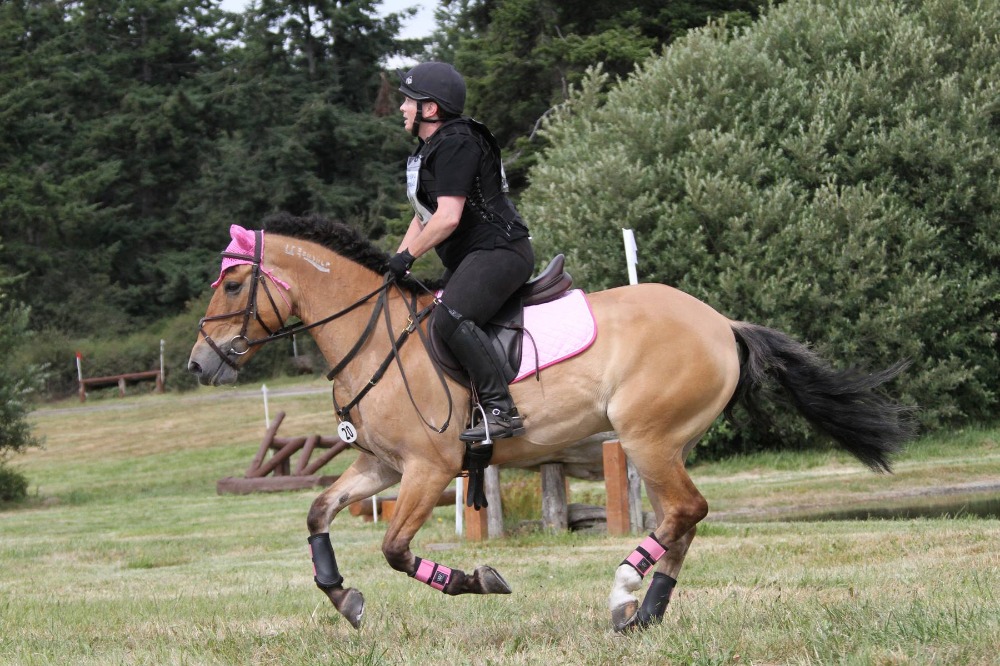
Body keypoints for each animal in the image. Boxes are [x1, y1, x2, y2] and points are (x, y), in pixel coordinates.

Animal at [187, 213, 916, 632]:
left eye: (232, 285)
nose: (199, 363)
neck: (374, 337)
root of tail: (721, 323)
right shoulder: (380, 467)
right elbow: (318, 512)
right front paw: (343, 597)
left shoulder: (430, 469)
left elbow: (395, 548)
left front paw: (472, 580)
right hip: (660, 445)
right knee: (681, 519)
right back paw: (644, 612)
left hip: (647, 438)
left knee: (685, 512)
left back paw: (624, 590)